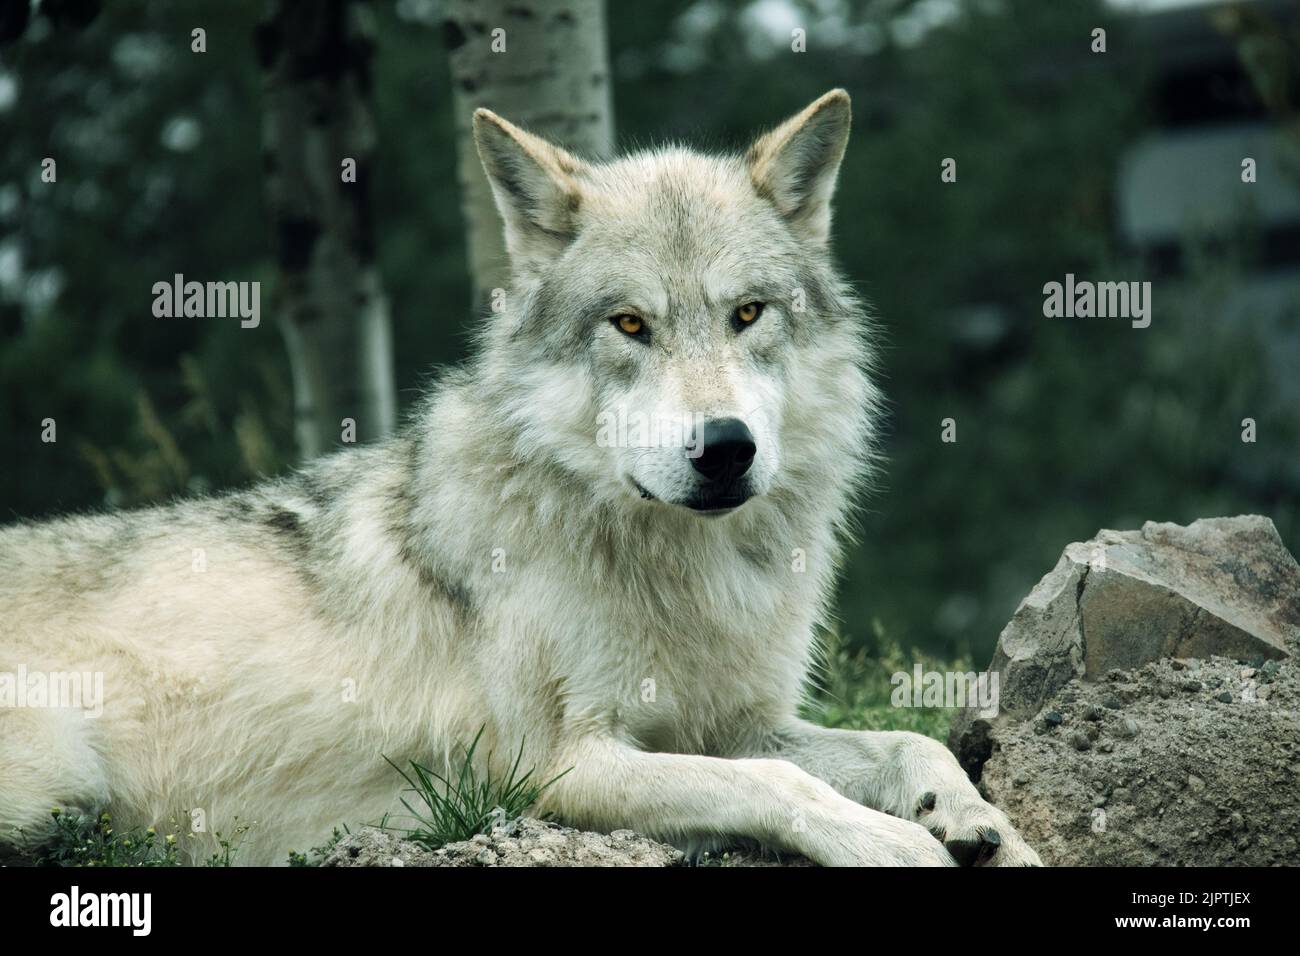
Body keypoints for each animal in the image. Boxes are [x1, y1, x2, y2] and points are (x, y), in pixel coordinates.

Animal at [0, 90, 1040, 866]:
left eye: (748, 313)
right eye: (630, 325)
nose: (725, 447)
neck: (679, 568)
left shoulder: (733, 722)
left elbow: (903, 740)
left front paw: (976, 821)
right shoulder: (553, 768)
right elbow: (778, 782)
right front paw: (893, 842)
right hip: (60, 788)